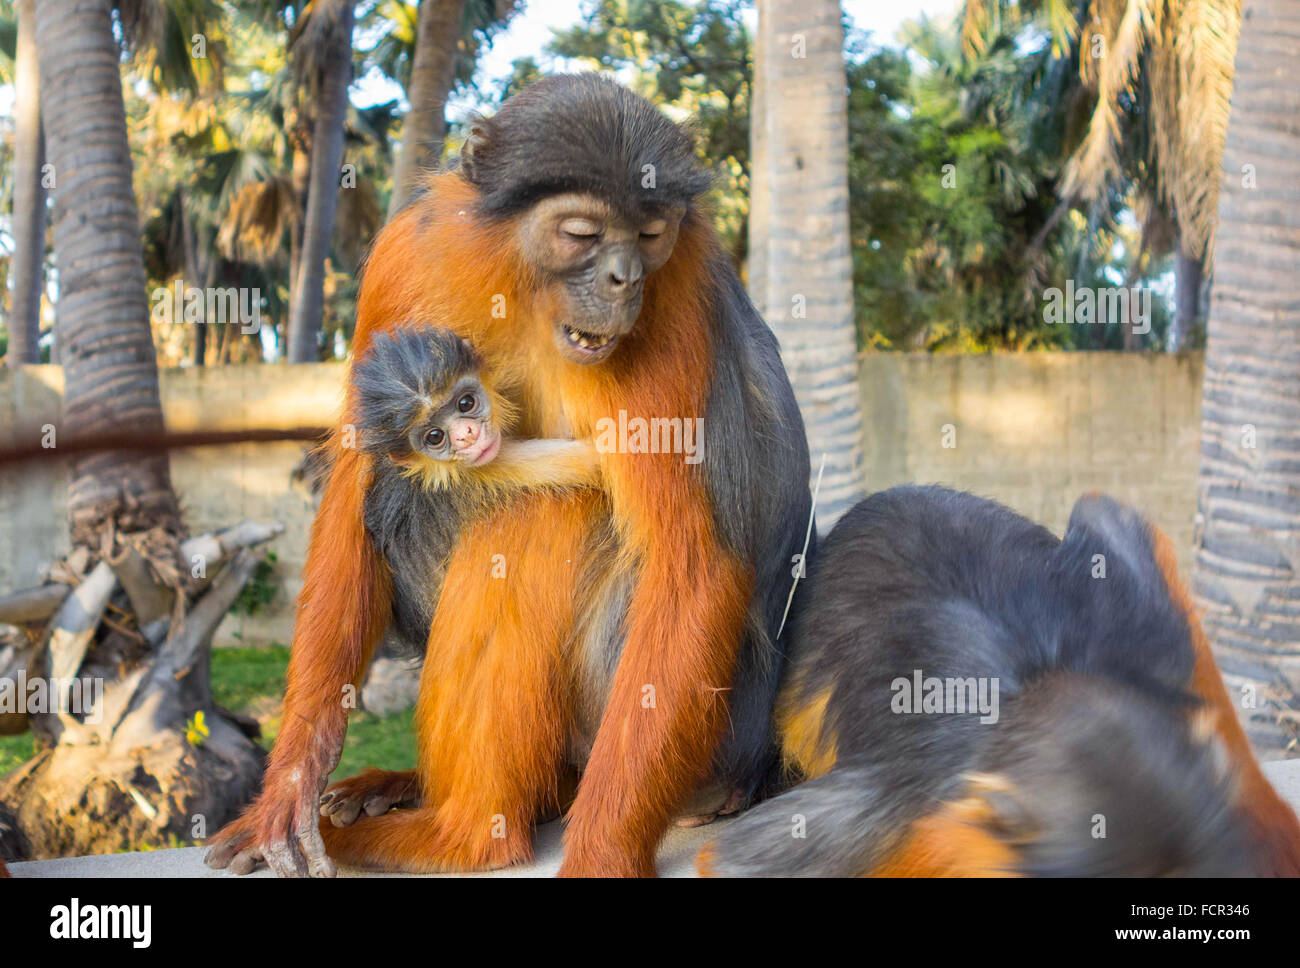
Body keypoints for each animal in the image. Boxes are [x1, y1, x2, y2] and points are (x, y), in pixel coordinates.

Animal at [204, 73, 813, 877]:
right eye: (582, 232)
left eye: (649, 234)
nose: (624, 278)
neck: (529, 290)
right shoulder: (415, 244)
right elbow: (354, 476)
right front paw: (291, 783)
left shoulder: (674, 296)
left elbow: (694, 560)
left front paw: (600, 853)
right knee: (397, 490)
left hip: (692, 735)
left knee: (537, 513)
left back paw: (464, 834)